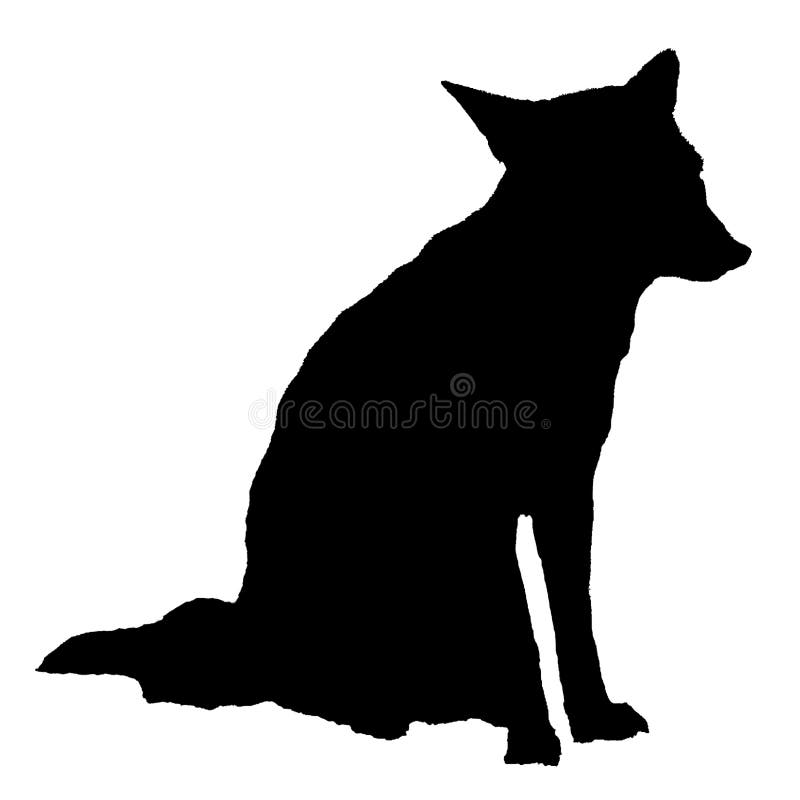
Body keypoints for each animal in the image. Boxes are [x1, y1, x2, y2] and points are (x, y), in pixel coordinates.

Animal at [39, 50, 751, 766]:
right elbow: (522, 630)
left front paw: (593, 720)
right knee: (250, 681)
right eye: (627, 177)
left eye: (689, 170)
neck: (545, 296)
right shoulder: (484, 504)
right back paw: (376, 711)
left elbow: (574, 620)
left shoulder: (568, 495)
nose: (738, 252)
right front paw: (534, 743)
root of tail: (247, 620)